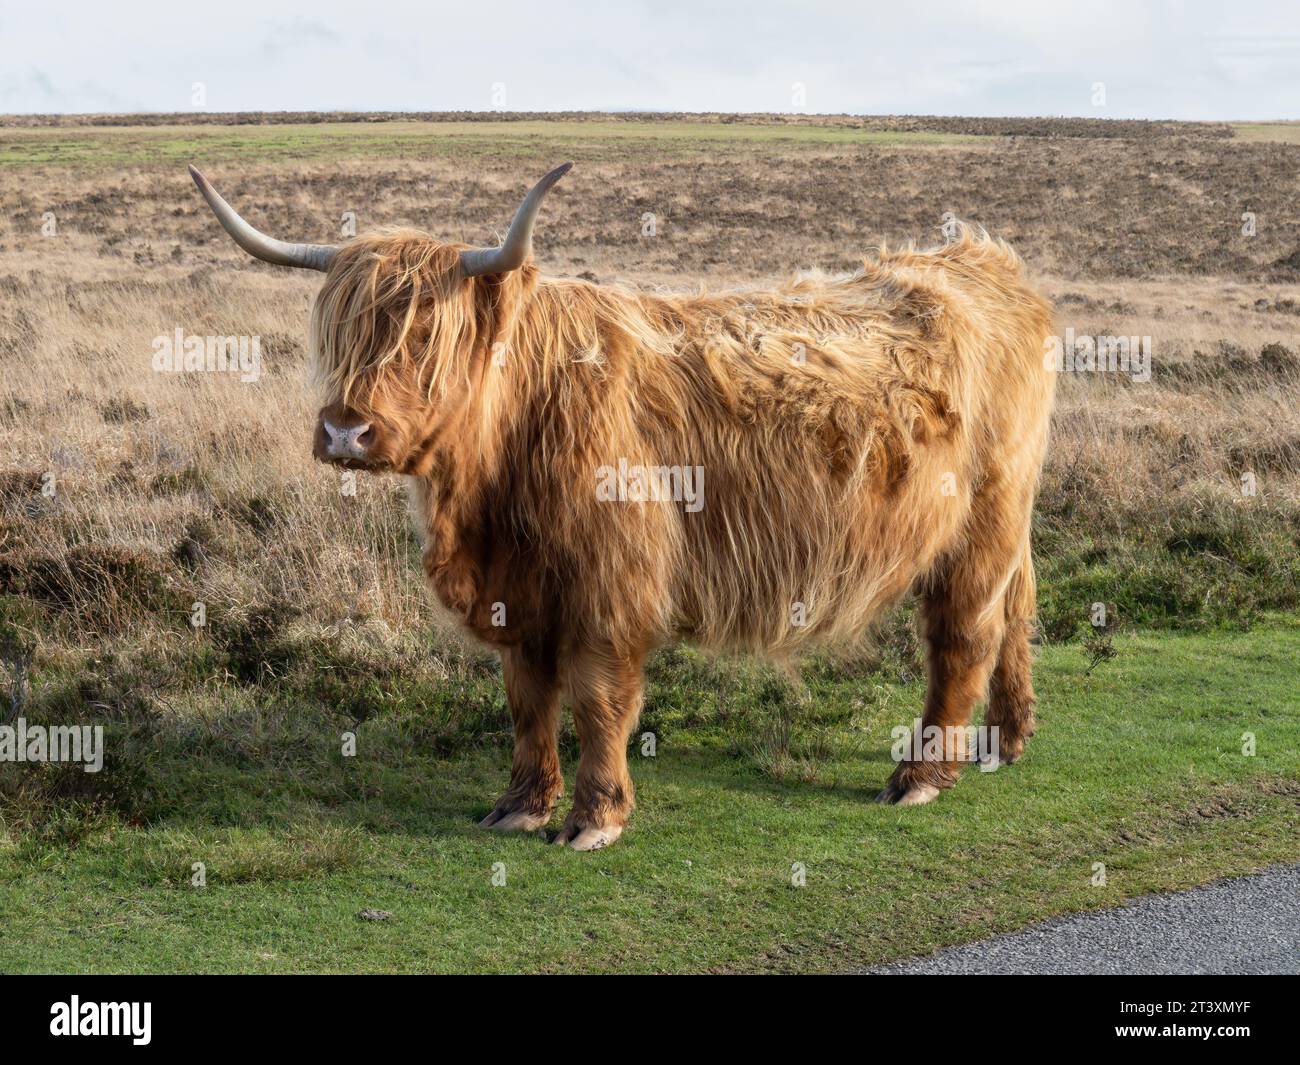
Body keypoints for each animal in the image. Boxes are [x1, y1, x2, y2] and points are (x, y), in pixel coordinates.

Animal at [189, 162, 1055, 850]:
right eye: (339, 333)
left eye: (427, 333)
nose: (345, 430)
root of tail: (984, 261)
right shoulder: (518, 592)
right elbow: (526, 697)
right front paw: (520, 804)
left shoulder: (611, 585)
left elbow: (598, 700)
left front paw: (594, 817)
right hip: (1007, 517)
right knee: (1017, 607)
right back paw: (1009, 739)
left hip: (982, 521)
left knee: (963, 636)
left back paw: (922, 774)